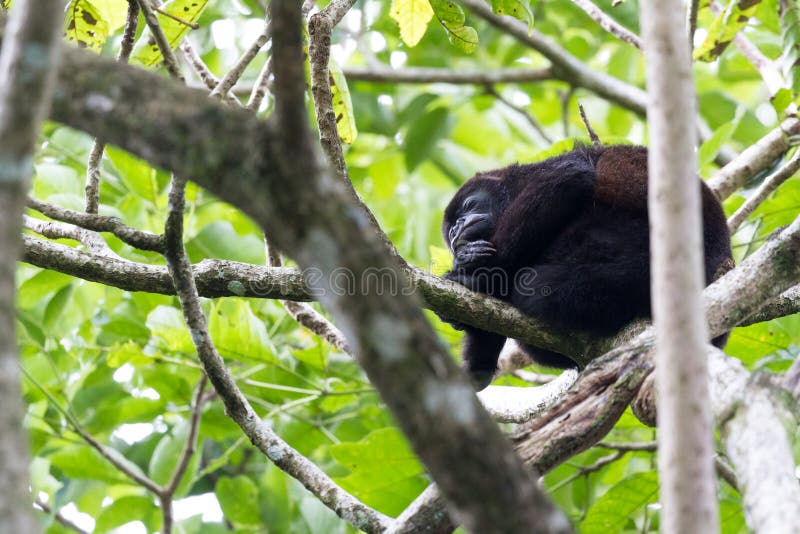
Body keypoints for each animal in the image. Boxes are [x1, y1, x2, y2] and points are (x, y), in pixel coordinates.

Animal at [440, 144, 733, 390]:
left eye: (468, 205)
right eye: (450, 230)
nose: (455, 230)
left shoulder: (539, 173)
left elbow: (568, 178)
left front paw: (481, 273)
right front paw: (477, 367)